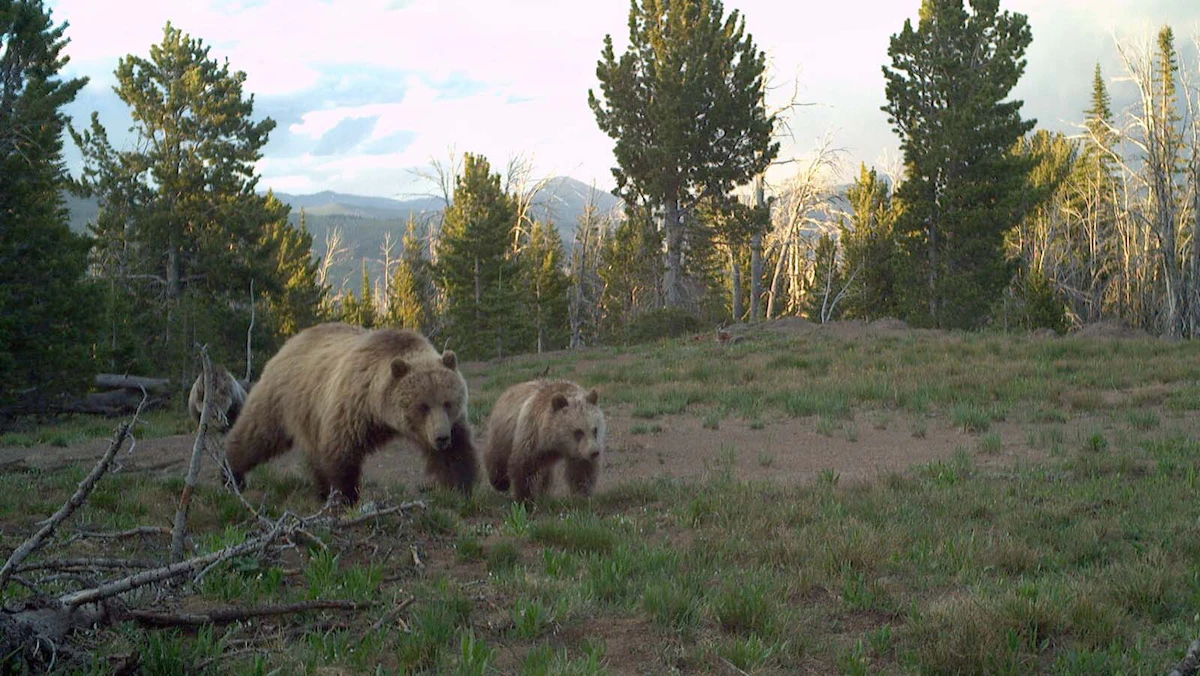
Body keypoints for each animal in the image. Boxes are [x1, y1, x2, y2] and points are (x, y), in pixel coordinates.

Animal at [224, 322, 478, 504]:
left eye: (447, 402)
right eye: (422, 405)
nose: (441, 437)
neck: (381, 413)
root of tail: (290, 342)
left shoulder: (449, 423)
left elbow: (456, 454)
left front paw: (459, 489)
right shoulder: (353, 408)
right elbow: (341, 452)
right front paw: (347, 496)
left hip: (309, 415)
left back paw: (321, 490)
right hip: (281, 399)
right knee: (256, 434)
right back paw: (232, 474)